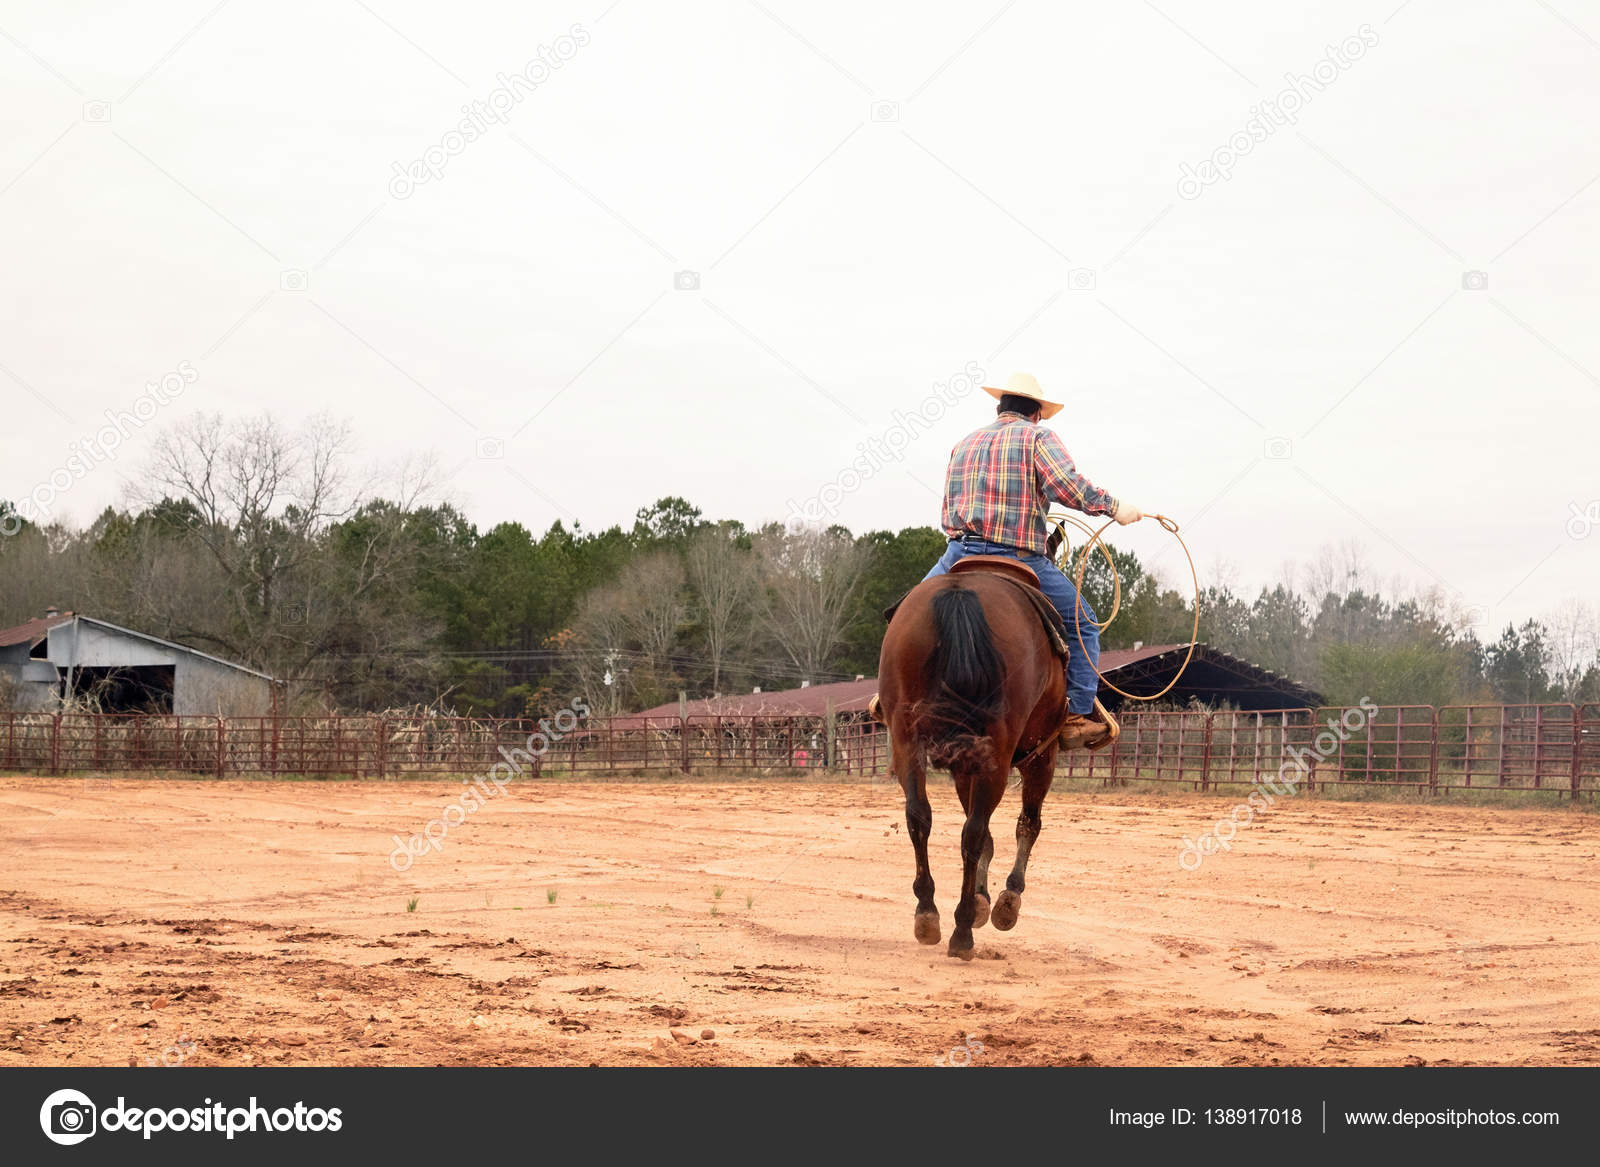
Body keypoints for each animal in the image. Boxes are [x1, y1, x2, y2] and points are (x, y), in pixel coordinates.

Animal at [875, 559, 1068, 960]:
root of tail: (959, 594)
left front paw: (981, 898)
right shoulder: (1043, 754)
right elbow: (1027, 824)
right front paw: (1005, 900)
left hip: (907, 739)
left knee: (920, 816)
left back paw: (928, 914)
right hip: (1000, 751)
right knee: (977, 831)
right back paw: (962, 931)